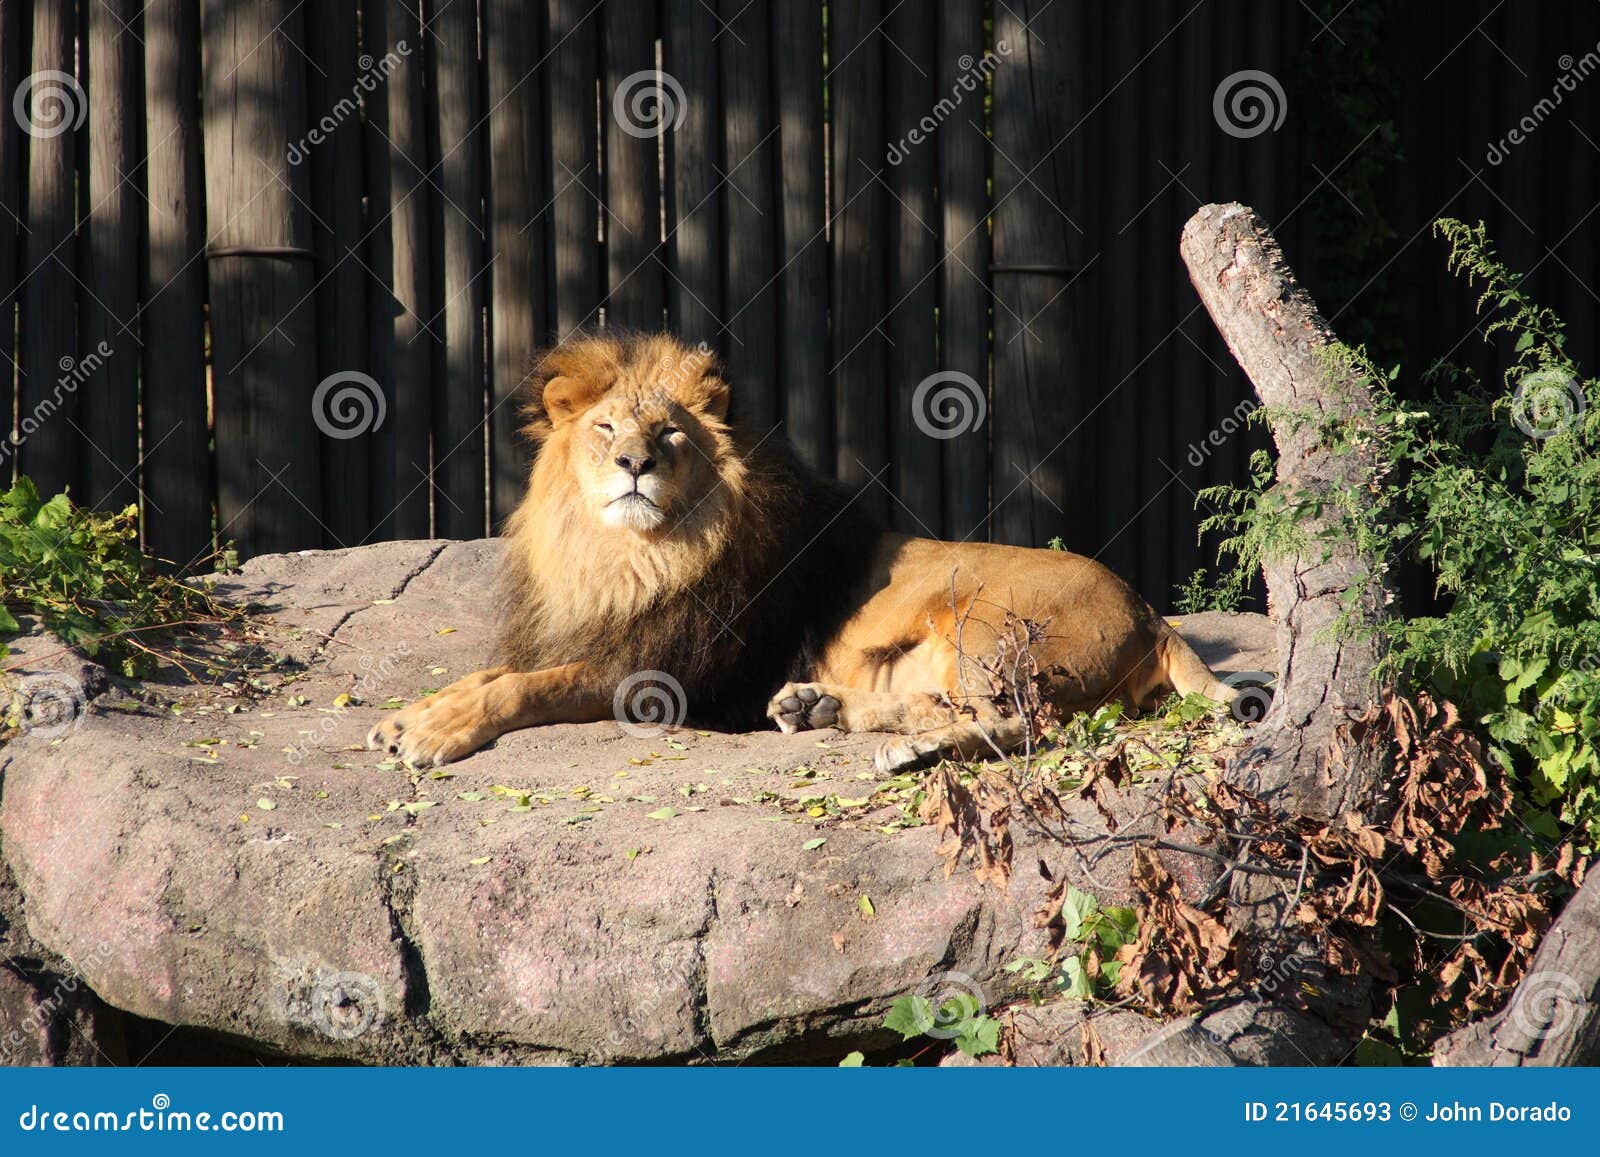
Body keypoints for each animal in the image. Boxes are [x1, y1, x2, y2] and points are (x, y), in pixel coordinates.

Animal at [368, 332, 1237, 771]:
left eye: (669, 432)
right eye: (606, 426)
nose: (634, 463)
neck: (630, 558)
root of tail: (1152, 612)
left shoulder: (652, 674)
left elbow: (521, 688)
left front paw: (436, 731)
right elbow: (492, 672)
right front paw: (407, 716)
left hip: (990, 626)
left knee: (1025, 724)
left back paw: (910, 752)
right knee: (956, 706)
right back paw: (817, 707)